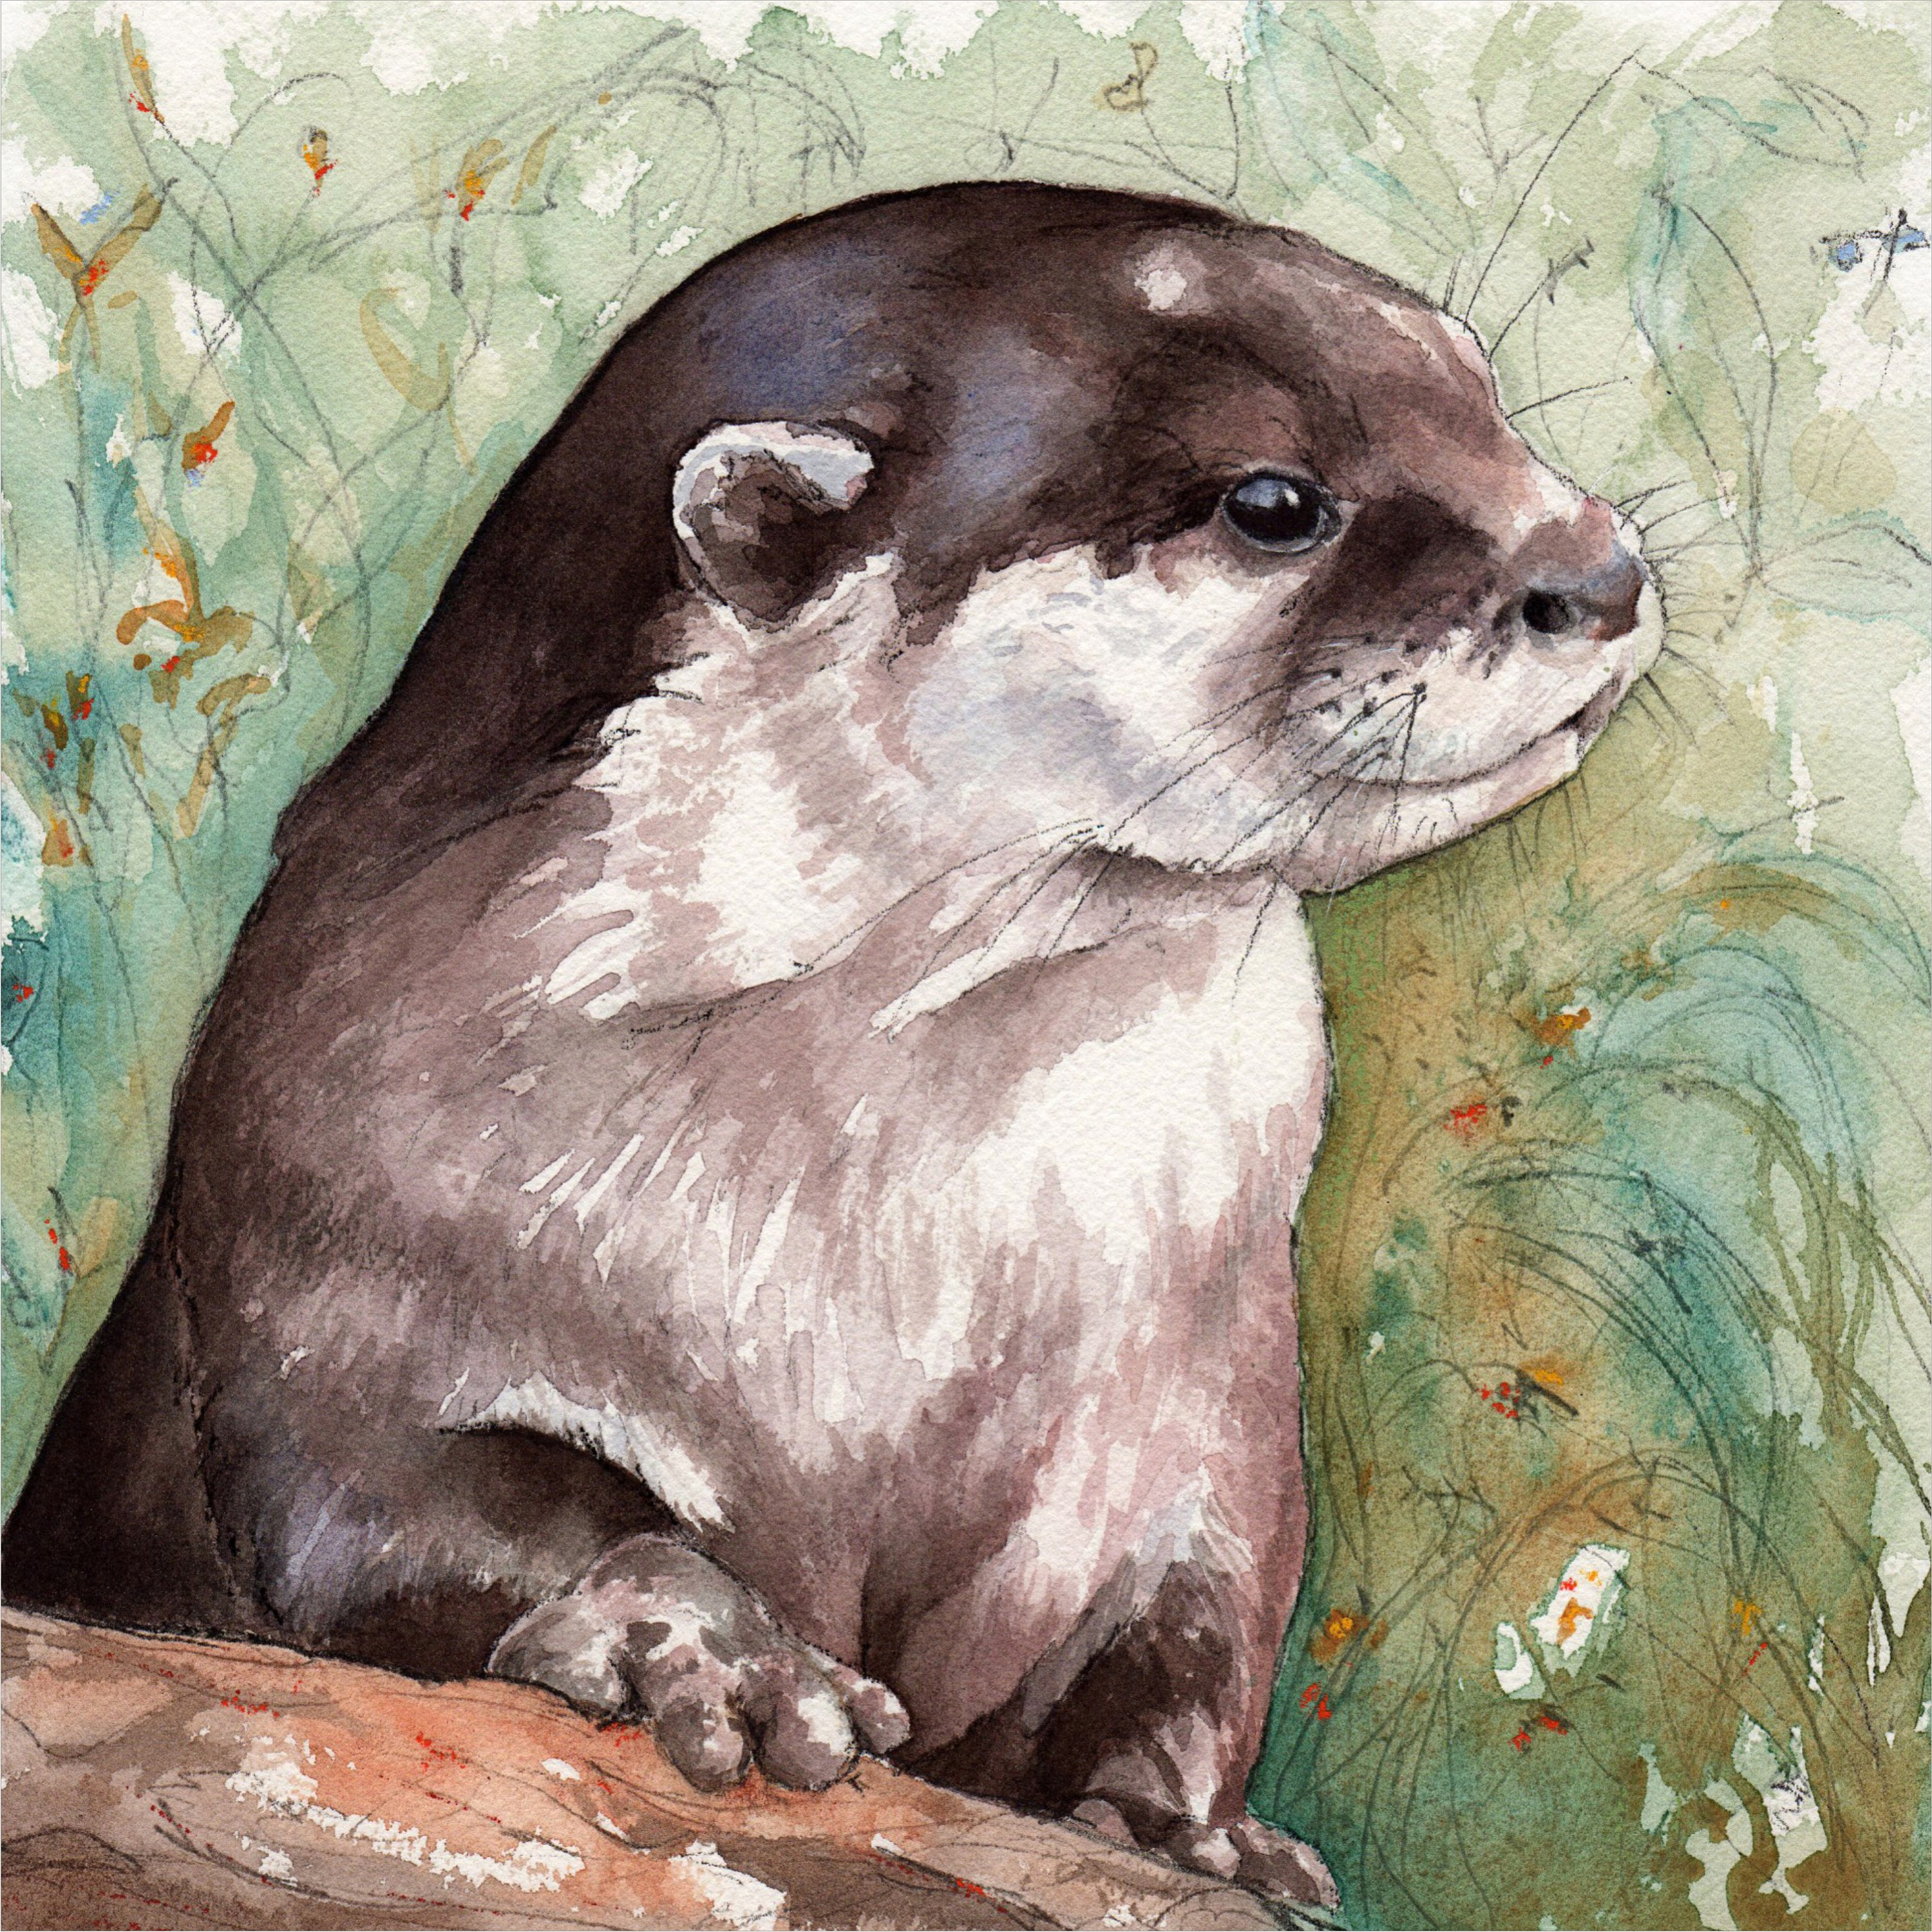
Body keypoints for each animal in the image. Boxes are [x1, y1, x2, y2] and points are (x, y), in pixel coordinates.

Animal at [5, 184, 1656, 1909]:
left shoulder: (1209, 1382)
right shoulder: (326, 1215)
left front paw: (1184, 1823)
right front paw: (710, 1648)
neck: (889, 1240)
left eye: (1482, 395)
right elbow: (381, 1496)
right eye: (1274, 502)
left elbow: (1198, 1618)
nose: (1597, 569)